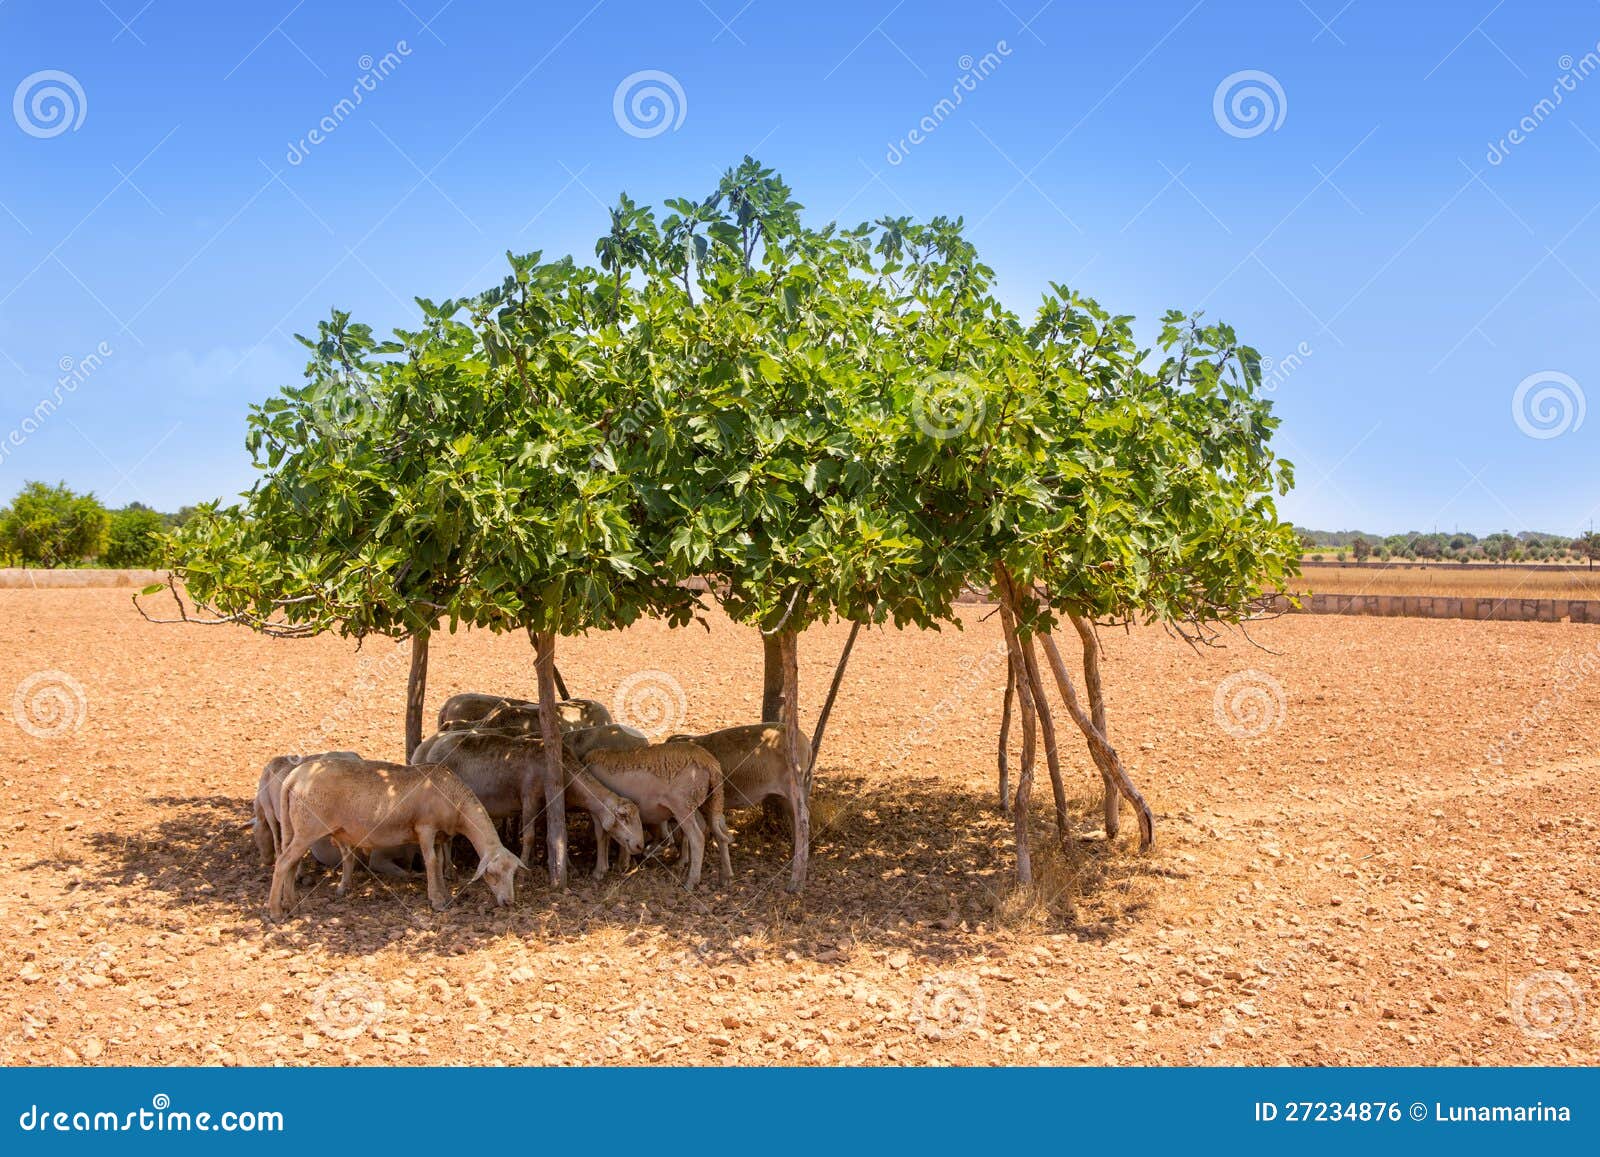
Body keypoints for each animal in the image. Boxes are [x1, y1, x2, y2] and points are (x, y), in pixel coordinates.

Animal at [268, 756, 524, 917]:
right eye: (491, 873)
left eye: (513, 873)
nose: (509, 903)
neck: (456, 799)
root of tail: (294, 777)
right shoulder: (425, 828)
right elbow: (431, 862)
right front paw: (436, 900)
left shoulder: (439, 835)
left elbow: (439, 862)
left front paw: (442, 893)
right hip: (307, 829)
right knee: (283, 863)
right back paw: (275, 911)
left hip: (296, 828)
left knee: (292, 863)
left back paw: (292, 904)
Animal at [415, 729, 645, 878]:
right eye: (623, 816)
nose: (639, 845)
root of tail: (433, 745)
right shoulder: (530, 799)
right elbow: (530, 836)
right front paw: (525, 865)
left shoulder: (549, 806)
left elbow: (556, 834)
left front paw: (563, 864)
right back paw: (449, 869)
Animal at [578, 743, 731, 892]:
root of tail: (709, 762)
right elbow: (622, 838)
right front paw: (622, 864)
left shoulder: (598, 811)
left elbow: (602, 836)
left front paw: (599, 871)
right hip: (710, 800)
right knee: (720, 832)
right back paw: (725, 876)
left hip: (683, 805)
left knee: (697, 838)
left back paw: (691, 881)